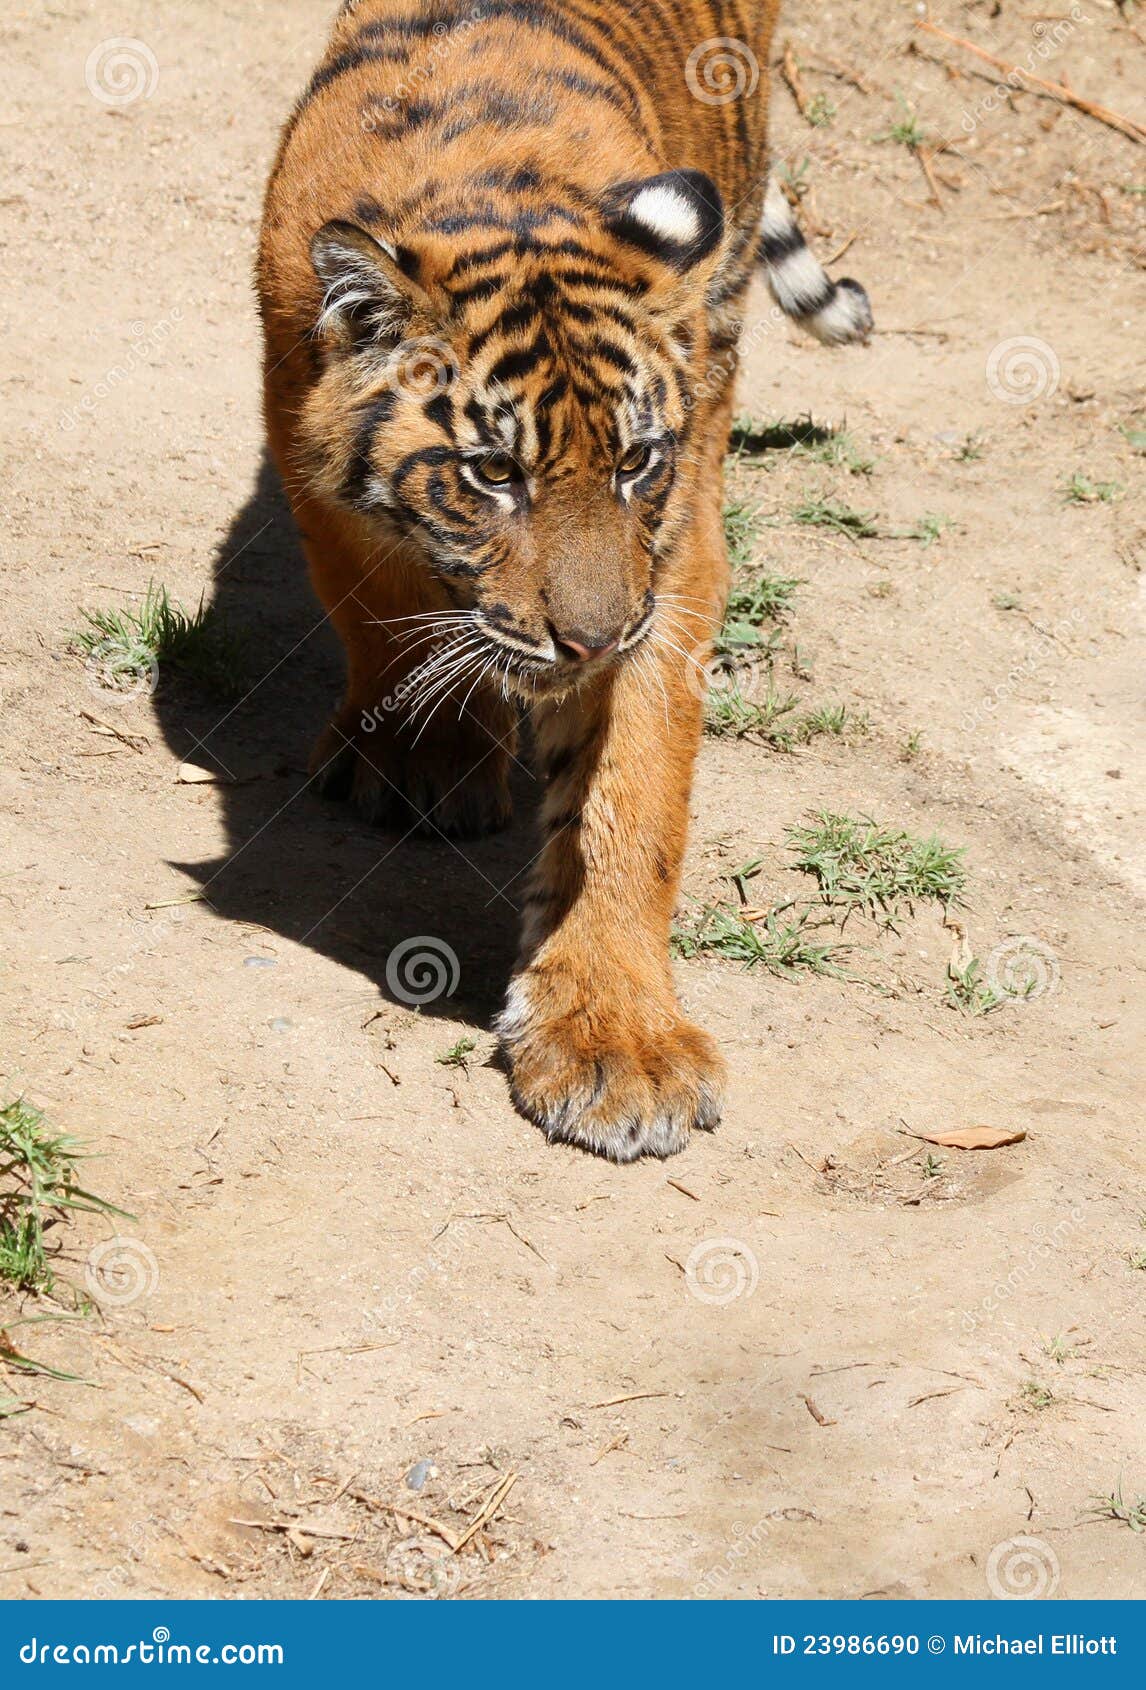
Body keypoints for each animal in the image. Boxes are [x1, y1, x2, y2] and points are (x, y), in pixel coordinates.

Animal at [257, 0, 871, 1163]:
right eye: (495, 474)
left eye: (634, 462)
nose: (588, 641)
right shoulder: (307, 450)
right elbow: (380, 611)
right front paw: (421, 760)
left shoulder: (673, 560)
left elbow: (631, 796)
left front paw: (615, 1043)